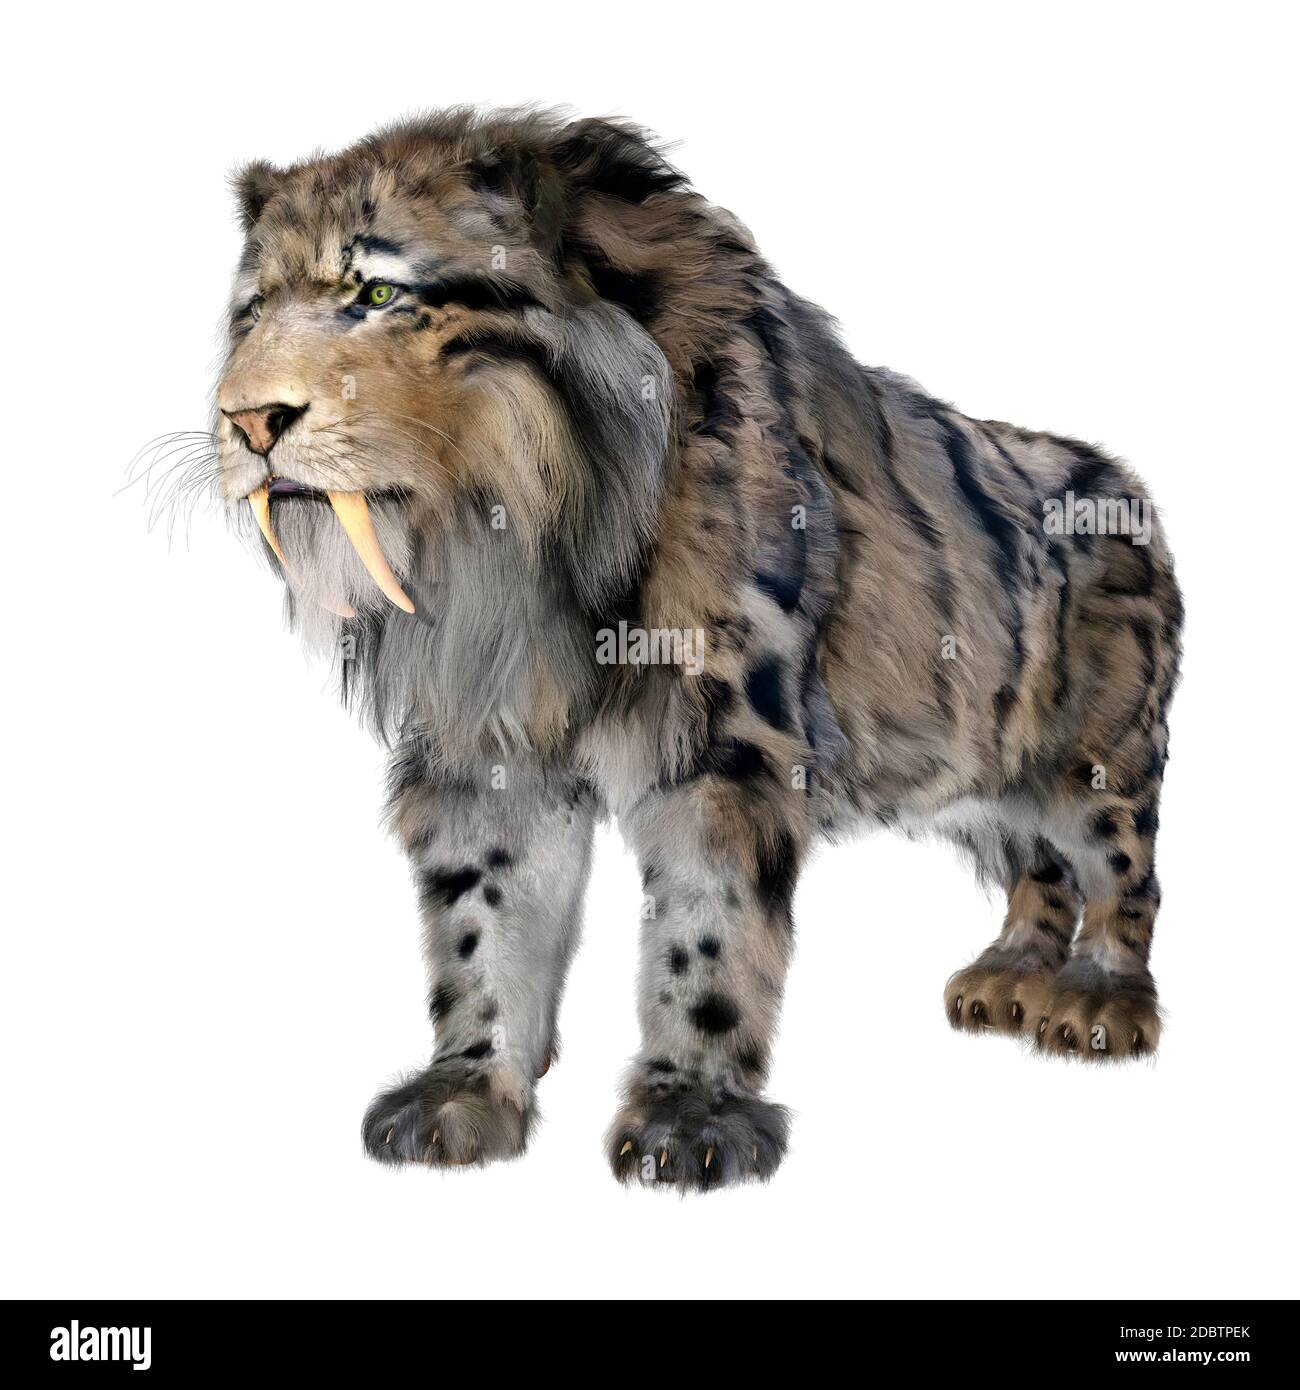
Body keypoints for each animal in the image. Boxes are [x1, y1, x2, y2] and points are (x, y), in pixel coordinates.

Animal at [188, 107, 1182, 1191]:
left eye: (375, 293)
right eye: (251, 313)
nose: (247, 421)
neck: (512, 535)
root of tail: (1130, 489)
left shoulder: (729, 747)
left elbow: (708, 935)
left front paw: (690, 1118)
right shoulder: (486, 750)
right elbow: (481, 922)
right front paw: (468, 1091)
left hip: (1099, 766)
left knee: (1121, 874)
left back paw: (1096, 1001)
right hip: (981, 776)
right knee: (1038, 865)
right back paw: (1009, 978)